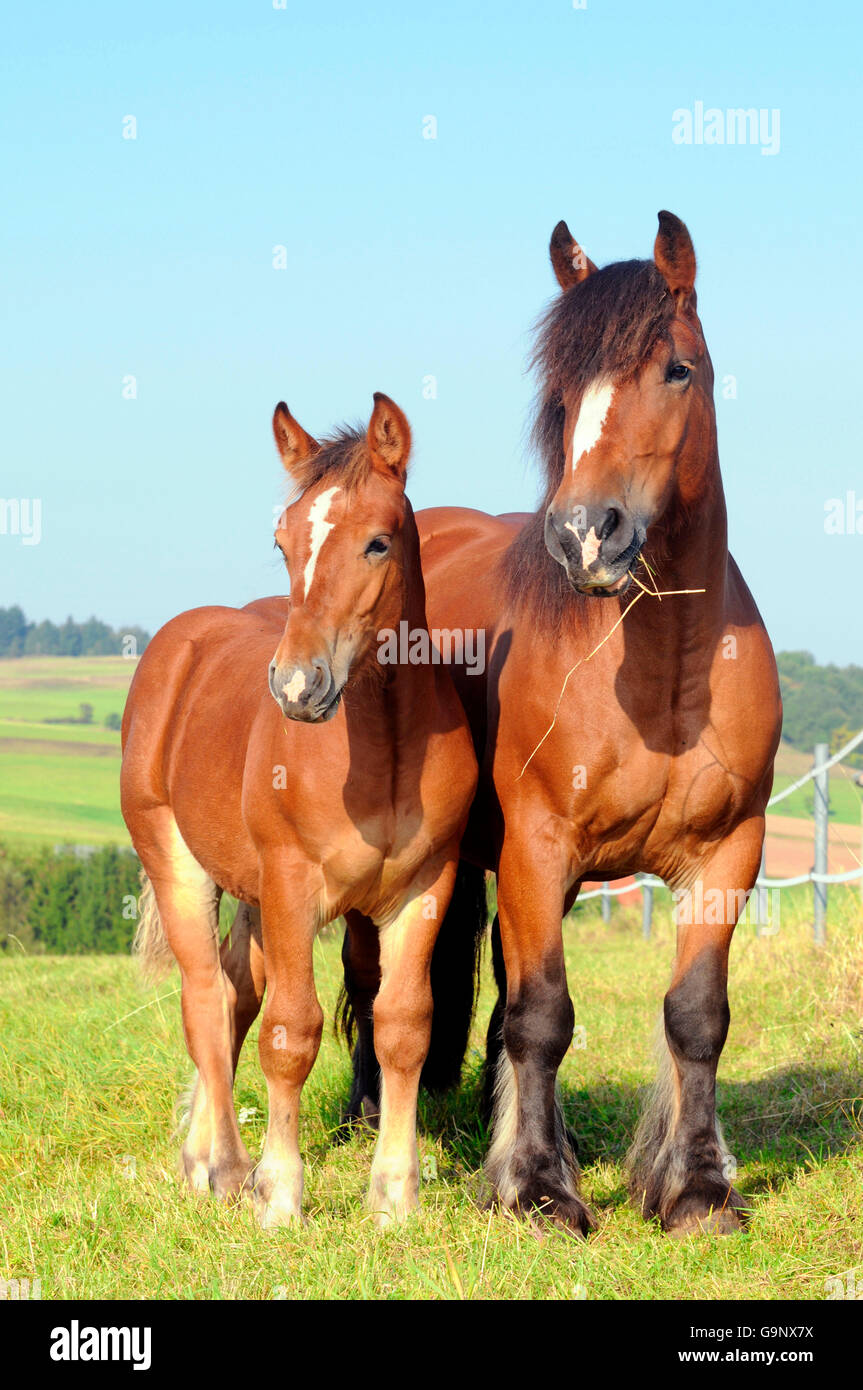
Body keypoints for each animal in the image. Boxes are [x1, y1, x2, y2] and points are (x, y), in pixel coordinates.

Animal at [120, 392, 478, 1227]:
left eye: (377, 543)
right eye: (281, 541)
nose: (295, 686)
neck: (385, 751)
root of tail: (177, 643)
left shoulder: (424, 887)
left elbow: (403, 1026)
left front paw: (394, 1196)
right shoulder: (292, 884)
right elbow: (292, 1032)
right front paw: (280, 1194)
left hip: (251, 898)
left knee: (231, 996)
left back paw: (202, 1156)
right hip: (185, 868)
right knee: (204, 999)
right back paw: (222, 1165)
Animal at [346, 211, 782, 1235]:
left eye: (677, 369)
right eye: (562, 391)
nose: (586, 533)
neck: (662, 680)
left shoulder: (727, 854)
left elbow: (696, 1015)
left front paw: (696, 1188)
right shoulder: (539, 848)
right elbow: (544, 1016)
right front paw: (537, 1189)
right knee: (374, 976)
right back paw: (368, 1117)